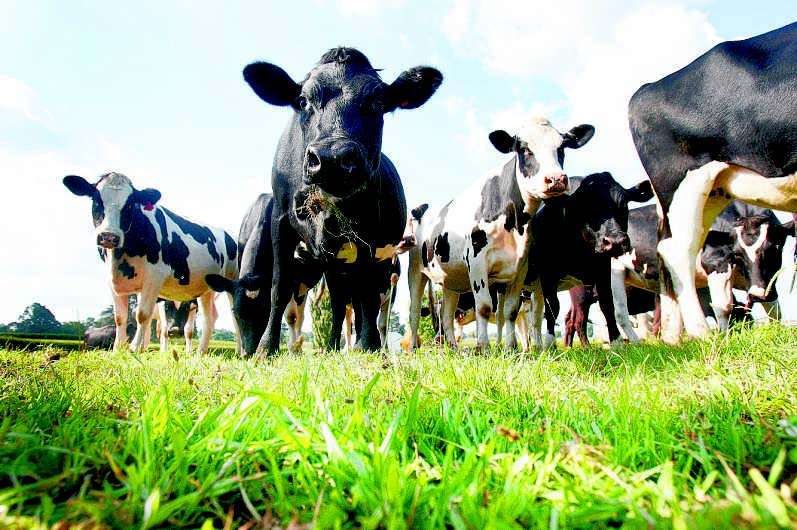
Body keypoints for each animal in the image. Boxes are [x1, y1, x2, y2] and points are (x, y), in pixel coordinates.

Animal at [63, 172, 238, 354]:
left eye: (130, 205)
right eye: (96, 200)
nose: (108, 236)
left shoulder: (154, 278)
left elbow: (142, 315)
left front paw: (133, 348)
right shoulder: (113, 282)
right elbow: (119, 317)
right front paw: (118, 350)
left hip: (233, 279)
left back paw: (238, 351)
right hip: (206, 289)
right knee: (210, 317)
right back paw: (200, 352)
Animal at [242, 47, 442, 354]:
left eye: (377, 102)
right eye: (303, 101)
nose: (332, 158)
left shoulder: (377, 240)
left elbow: (368, 298)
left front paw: (369, 345)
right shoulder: (281, 221)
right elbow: (279, 286)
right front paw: (266, 348)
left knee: (361, 301)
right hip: (333, 267)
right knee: (338, 303)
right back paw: (332, 346)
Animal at [407, 117, 596, 351]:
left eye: (561, 147)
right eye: (525, 150)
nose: (555, 179)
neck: (515, 225)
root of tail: (421, 208)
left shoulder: (520, 267)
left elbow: (511, 310)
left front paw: (511, 348)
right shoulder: (477, 261)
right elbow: (485, 307)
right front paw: (483, 347)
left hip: (451, 277)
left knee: (446, 314)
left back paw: (454, 349)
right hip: (415, 270)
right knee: (415, 311)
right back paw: (413, 348)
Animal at [527, 173, 653, 346]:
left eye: (624, 204)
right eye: (584, 207)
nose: (615, 241)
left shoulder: (603, 270)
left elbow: (607, 304)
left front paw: (617, 341)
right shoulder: (547, 274)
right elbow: (553, 307)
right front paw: (550, 342)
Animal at [628, 22, 797, 342]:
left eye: (774, 248)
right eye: (738, 255)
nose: (758, 293)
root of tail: (648, 87)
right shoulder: (720, 263)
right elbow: (725, 304)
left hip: (712, 190)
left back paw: (673, 336)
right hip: (684, 183)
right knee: (678, 251)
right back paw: (701, 333)